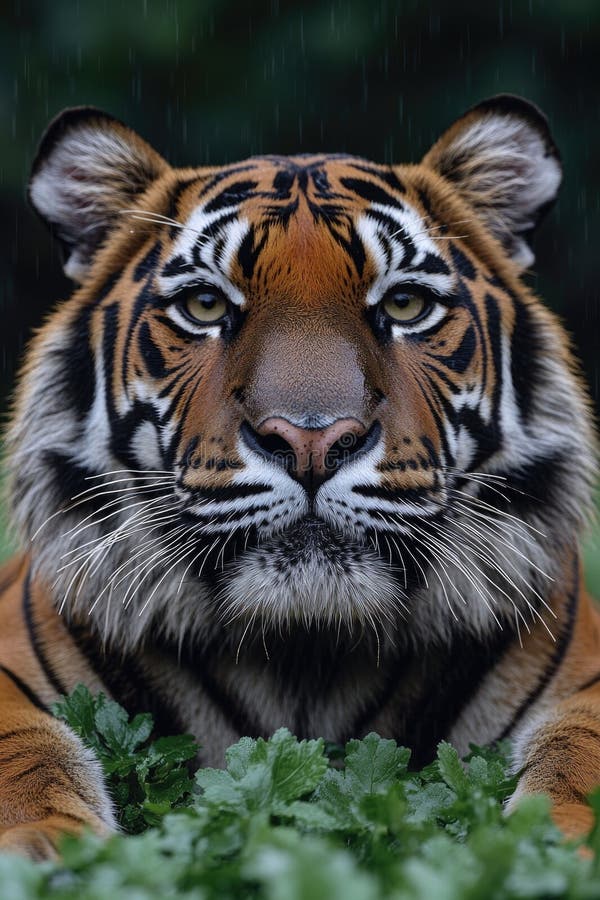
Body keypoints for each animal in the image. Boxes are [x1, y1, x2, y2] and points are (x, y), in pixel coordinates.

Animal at [0, 94, 598, 860]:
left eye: (405, 305)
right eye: (204, 305)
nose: (312, 440)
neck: (306, 658)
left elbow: (579, 746)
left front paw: (555, 844)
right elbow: (25, 748)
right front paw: (50, 846)